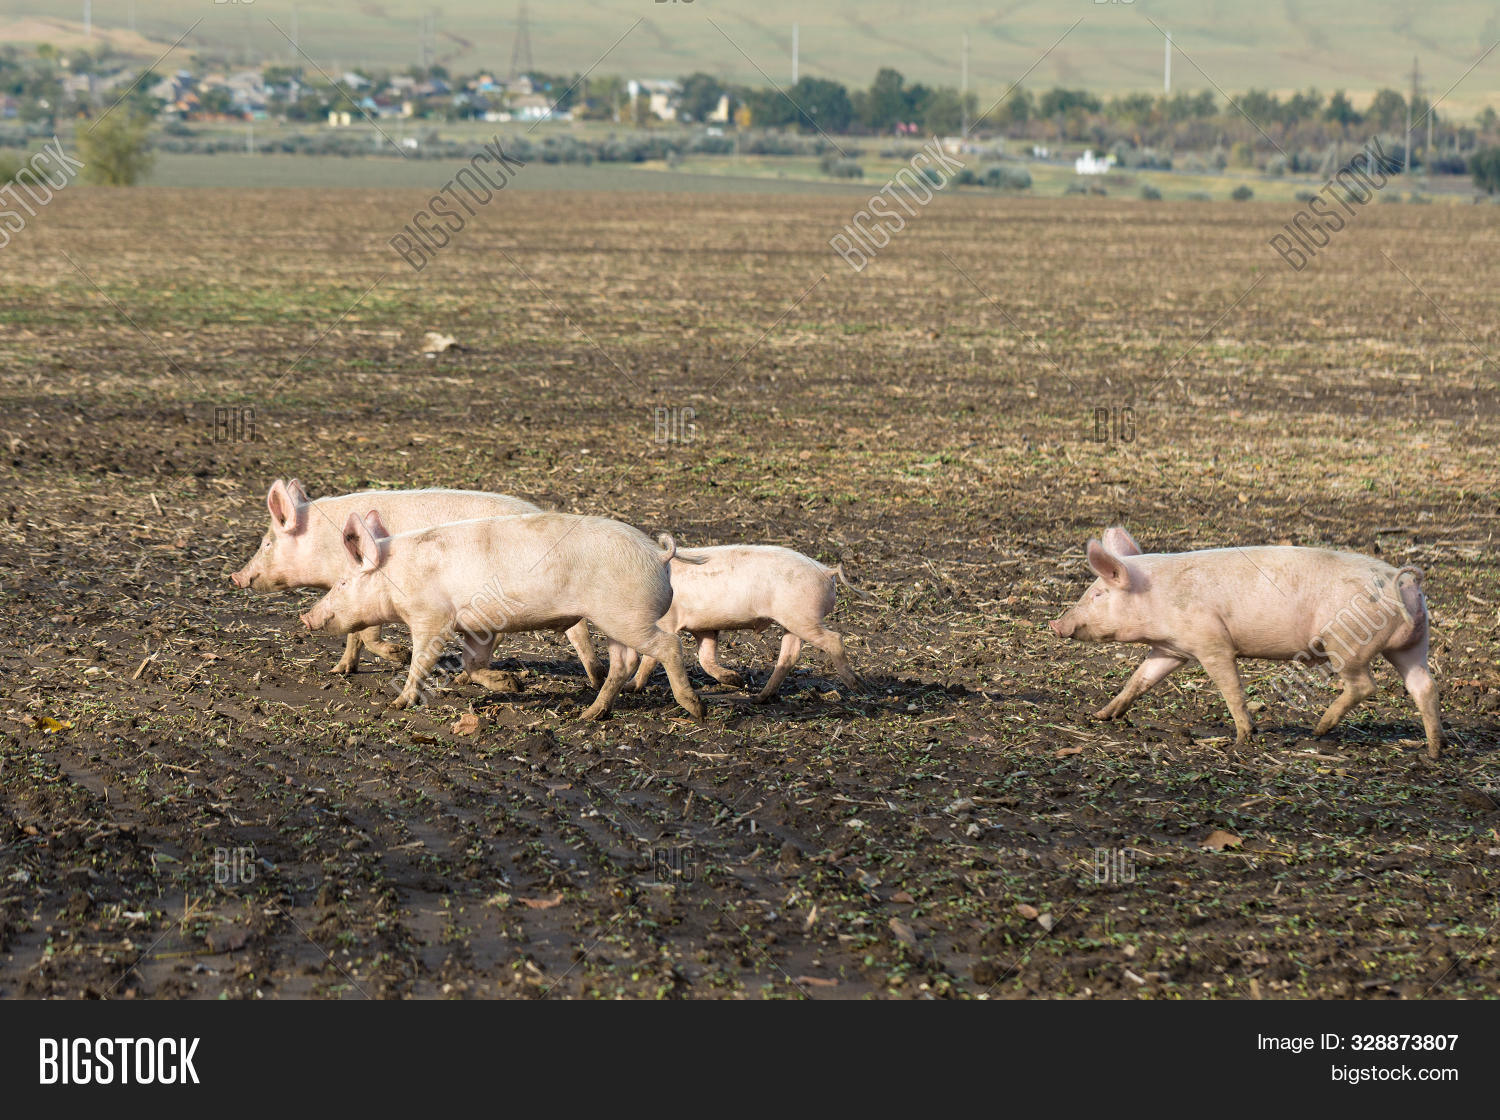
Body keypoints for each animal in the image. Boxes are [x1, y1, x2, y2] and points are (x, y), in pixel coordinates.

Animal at [230, 479, 602, 686]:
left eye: (267, 543)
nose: (235, 577)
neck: (321, 543)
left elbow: (367, 633)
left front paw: (399, 655)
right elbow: (353, 635)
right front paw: (340, 671)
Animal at [300, 510, 705, 722]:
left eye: (342, 582)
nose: (306, 617)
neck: (398, 576)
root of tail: (659, 555)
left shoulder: (432, 618)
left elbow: (421, 660)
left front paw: (396, 705)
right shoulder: (475, 625)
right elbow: (472, 663)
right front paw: (512, 685)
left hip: (627, 616)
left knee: (667, 646)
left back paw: (693, 709)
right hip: (616, 621)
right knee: (622, 663)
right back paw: (589, 715)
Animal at [622, 545, 863, 702]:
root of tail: (827, 571)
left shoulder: (668, 622)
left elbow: (651, 658)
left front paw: (629, 687)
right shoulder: (704, 628)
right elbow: (705, 658)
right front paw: (736, 680)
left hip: (803, 617)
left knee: (834, 639)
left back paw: (856, 685)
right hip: (793, 622)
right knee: (789, 655)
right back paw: (759, 697)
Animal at [1049, 526, 1443, 758]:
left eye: (1097, 593)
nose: (1056, 623)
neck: (1155, 598)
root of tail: (1402, 580)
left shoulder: (1211, 641)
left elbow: (1231, 688)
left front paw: (1243, 736)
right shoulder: (1171, 649)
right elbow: (1139, 679)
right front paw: (1101, 716)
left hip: (1346, 642)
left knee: (1365, 685)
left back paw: (1318, 730)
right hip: (1412, 643)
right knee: (1424, 686)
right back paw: (1433, 750)